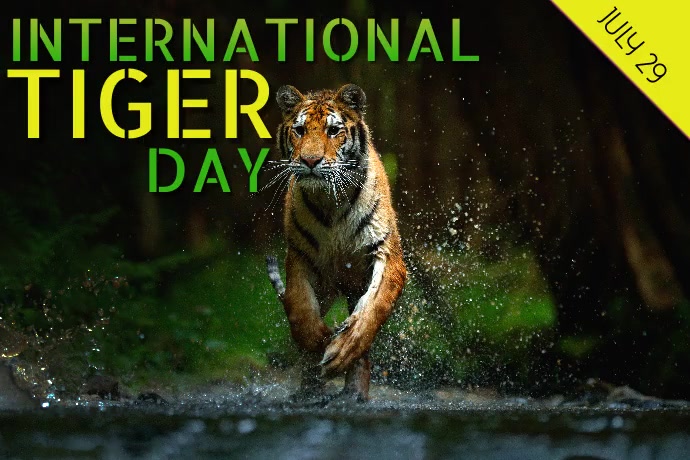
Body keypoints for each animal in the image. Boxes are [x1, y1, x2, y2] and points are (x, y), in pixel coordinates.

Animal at [266, 83, 407, 402]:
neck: (329, 201)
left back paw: (354, 393)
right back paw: (310, 391)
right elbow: (299, 305)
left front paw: (344, 348)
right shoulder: (299, 255)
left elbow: (374, 307)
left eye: (333, 131)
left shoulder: (386, 253)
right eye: (300, 130)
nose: (310, 161)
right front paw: (317, 339)